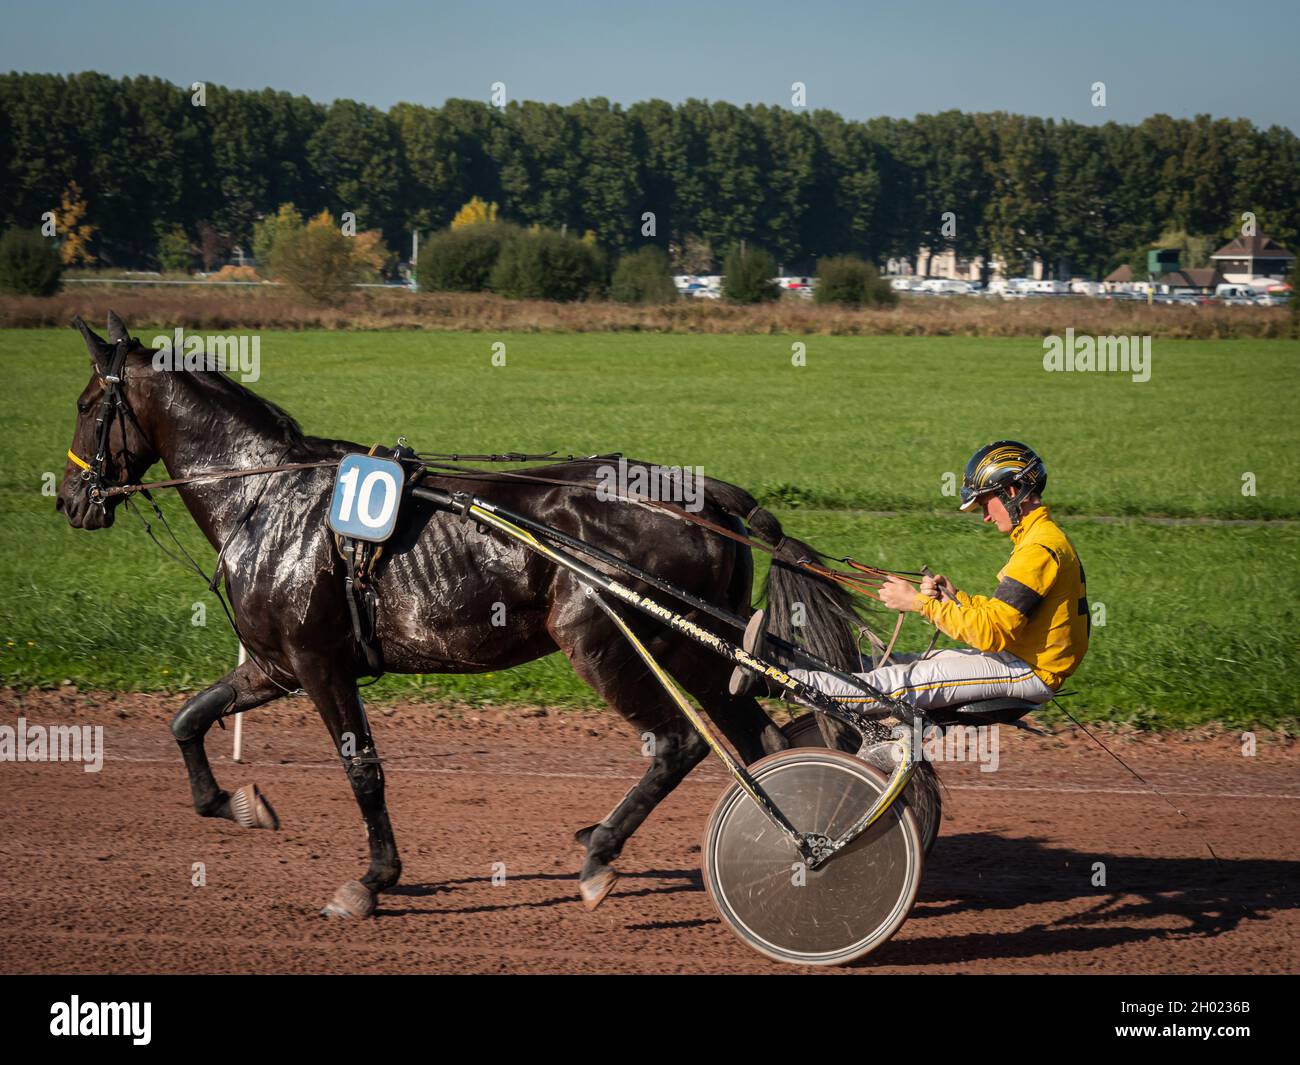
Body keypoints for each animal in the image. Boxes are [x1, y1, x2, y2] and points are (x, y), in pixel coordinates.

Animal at [56, 312, 875, 917]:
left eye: (87, 405)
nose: (69, 499)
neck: (266, 497)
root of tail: (711, 498)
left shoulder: (320, 663)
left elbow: (363, 770)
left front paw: (372, 881)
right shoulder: (273, 665)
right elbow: (187, 721)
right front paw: (239, 803)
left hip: (604, 640)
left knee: (678, 744)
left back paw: (600, 855)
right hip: (696, 651)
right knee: (762, 739)